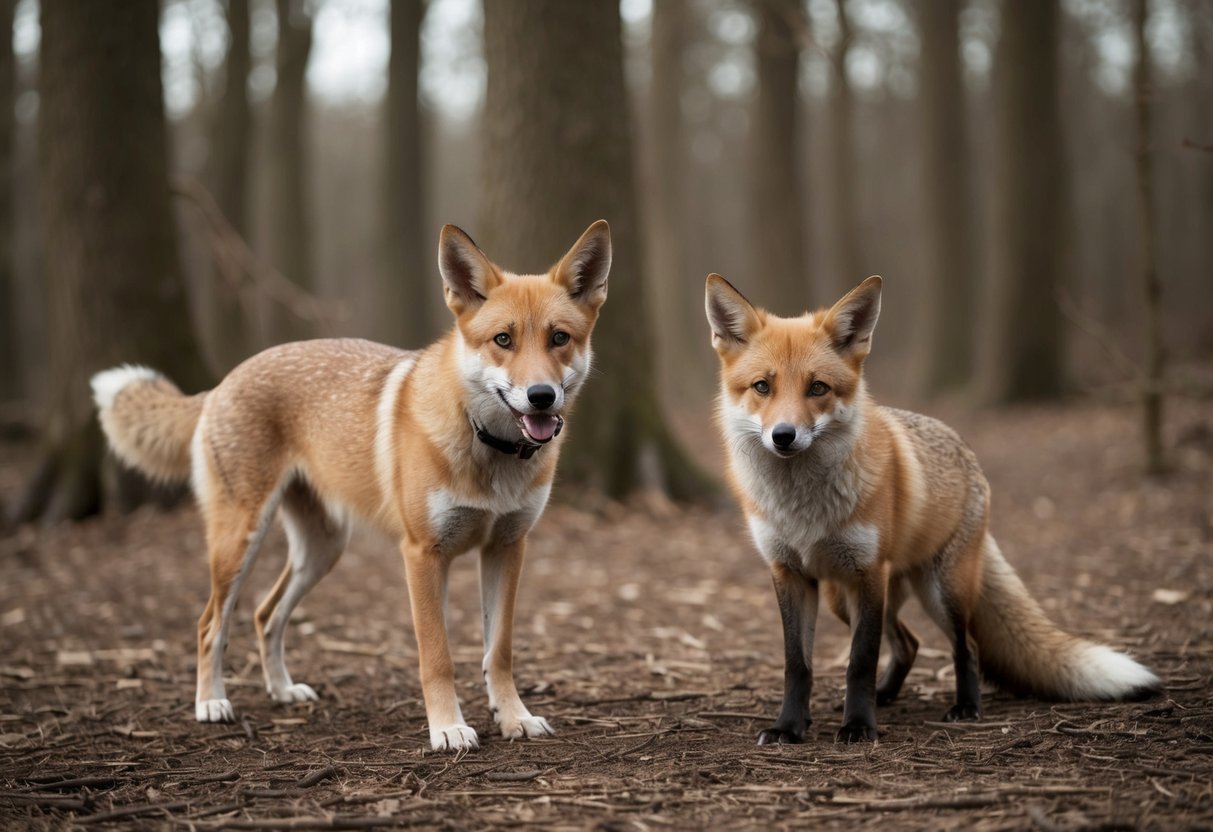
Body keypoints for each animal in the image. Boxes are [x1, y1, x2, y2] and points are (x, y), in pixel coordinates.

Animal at [91, 220, 612, 752]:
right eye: (503, 339)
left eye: (559, 338)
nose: (541, 396)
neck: (489, 450)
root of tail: (223, 381)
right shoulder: (423, 555)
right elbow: (438, 657)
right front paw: (447, 728)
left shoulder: (507, 547)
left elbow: (499, 652)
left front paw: (513, 718)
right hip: (240, 543)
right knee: (208, 624)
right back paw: (211, 702)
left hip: (322, 549)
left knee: (264, 614)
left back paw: (282, 691)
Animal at [704, 273, 1161, 744]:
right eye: (762, 386)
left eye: (818, 388)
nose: (784, 436)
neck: (802, 511)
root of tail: (966, 450)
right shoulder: (790, 574)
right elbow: (798, 665)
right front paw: (790, 727)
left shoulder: (869, 572)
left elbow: (859, 662)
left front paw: (859, 725)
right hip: (843, 597)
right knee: (908, 645)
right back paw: (886, 696)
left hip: (941, 590)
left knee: (966, 646)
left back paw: (965, 706)